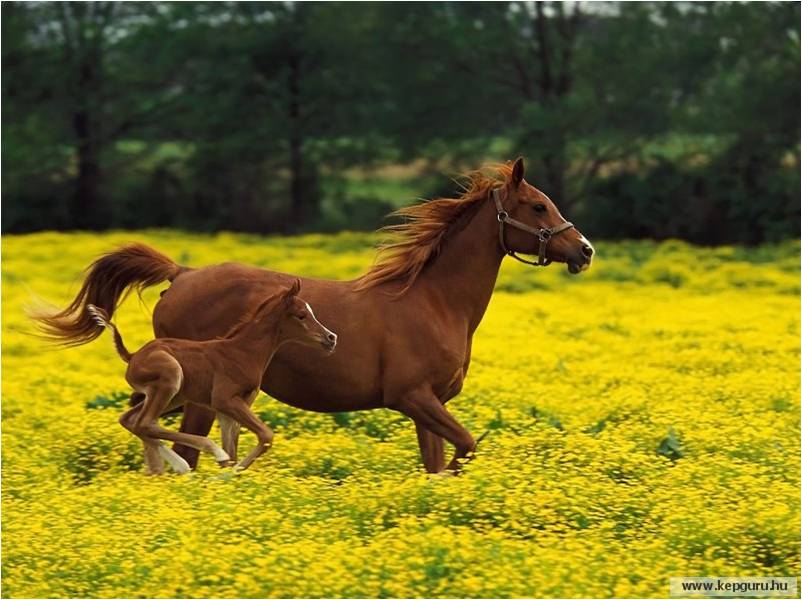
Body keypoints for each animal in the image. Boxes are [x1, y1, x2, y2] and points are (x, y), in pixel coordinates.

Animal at [85, 280, 337, 474]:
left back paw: (167, 467)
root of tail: (133, 356)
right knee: (145, 422)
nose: (331, 338)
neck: (243, 352)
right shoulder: (224, 400)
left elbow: (234, 448)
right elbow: (265, 435)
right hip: (171, 378)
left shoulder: (231, 408)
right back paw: (195, 459)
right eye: (302, 315)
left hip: (174, 395)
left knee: (132, 420)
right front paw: (226, 473)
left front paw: (227, 478)